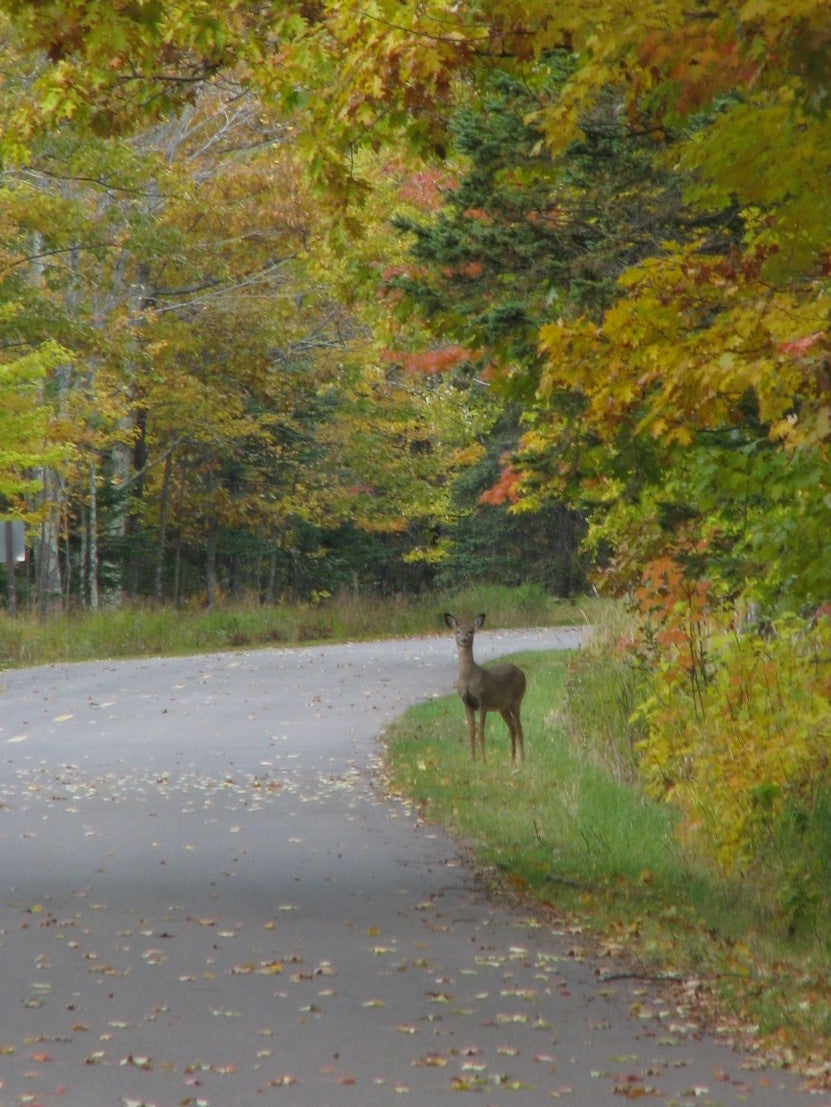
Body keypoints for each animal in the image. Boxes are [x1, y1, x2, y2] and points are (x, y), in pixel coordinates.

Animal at [444, 613, 526, 767]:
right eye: (457, 631)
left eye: (471, 631)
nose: (464, 639)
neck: (468, 678)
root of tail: (522, 673)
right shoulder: (467, 704)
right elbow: (471, 730)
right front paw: (472, 759)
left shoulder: (483, 702)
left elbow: (481, 731)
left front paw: (483, 760)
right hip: (503, 707)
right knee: (512, 727)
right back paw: (512, 759)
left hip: (516, 700)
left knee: (519, 727)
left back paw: (522, 759)